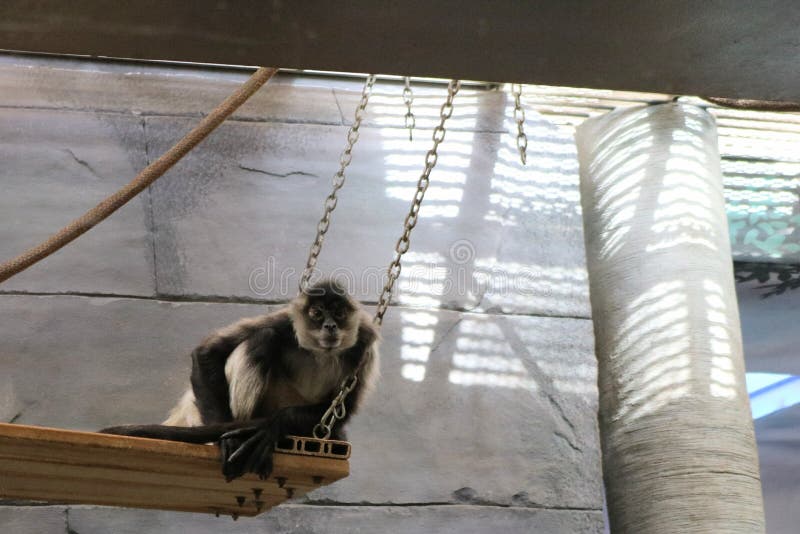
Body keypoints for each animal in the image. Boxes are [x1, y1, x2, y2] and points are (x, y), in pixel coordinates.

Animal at [101, 279, 380, 481]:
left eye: (339, 313)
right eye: (317, 313)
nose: (330, 326)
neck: (322, 352)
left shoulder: (365, 340)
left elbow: (347, 407)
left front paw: (273, 427)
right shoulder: (284, 321)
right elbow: (207, 352)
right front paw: (231, 440)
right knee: (264, 337)